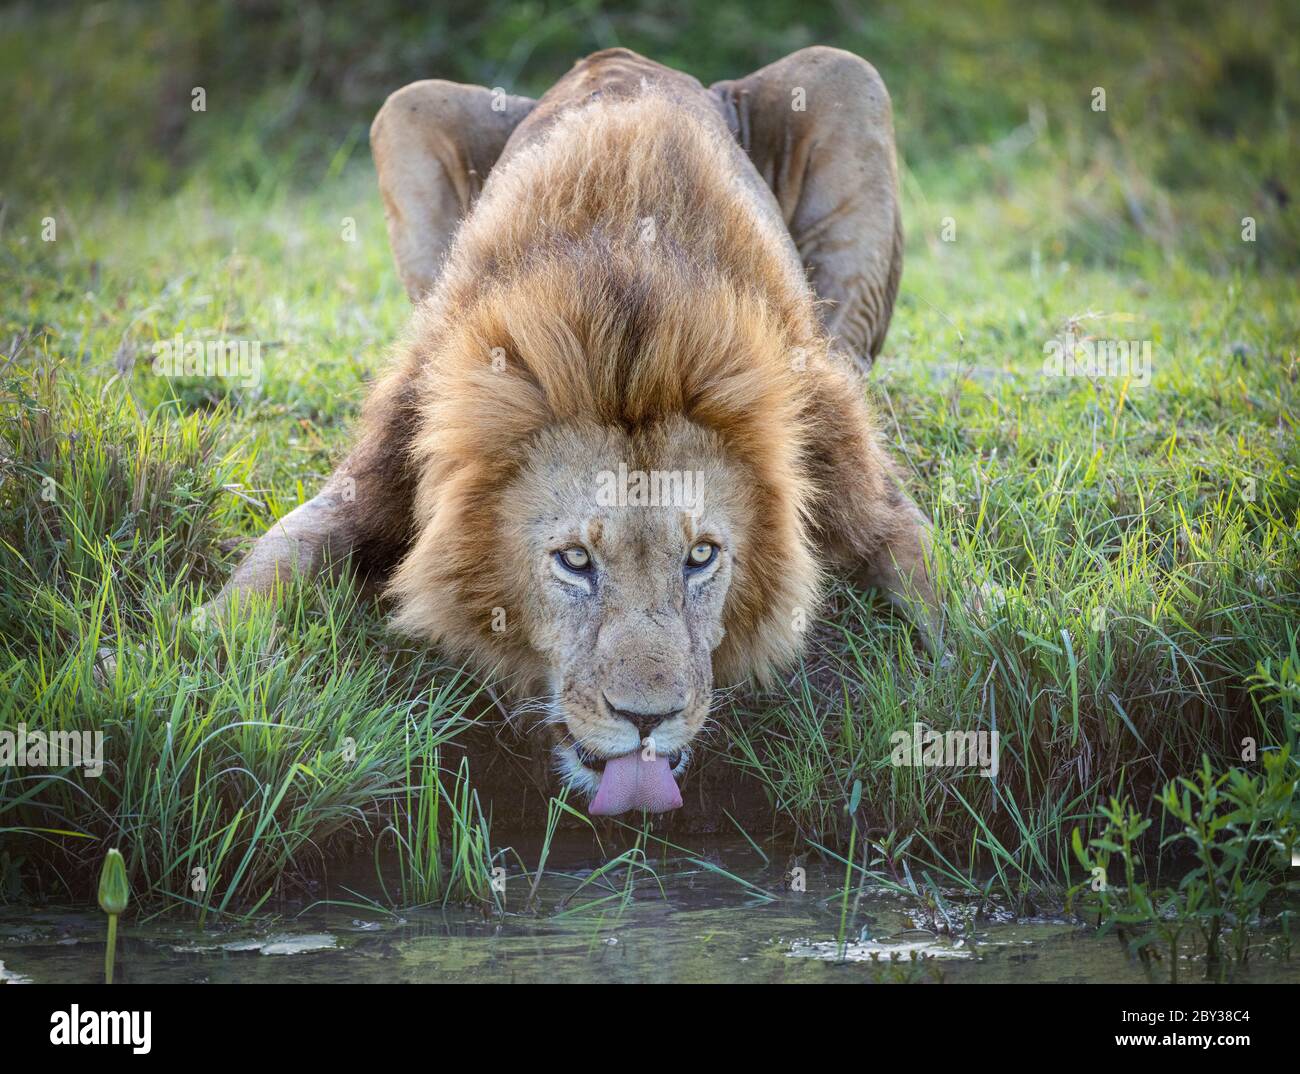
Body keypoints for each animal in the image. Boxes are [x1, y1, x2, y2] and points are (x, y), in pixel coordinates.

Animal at [204, 47, 939, 816]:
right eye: (575, 561)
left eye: (701, 556)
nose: (647, 721)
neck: (625, 329)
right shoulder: (387, 459)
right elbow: (284, 548)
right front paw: (201, 652)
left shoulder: (847, 465)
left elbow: (931, 574)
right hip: (408, 108)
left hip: (846, 78)